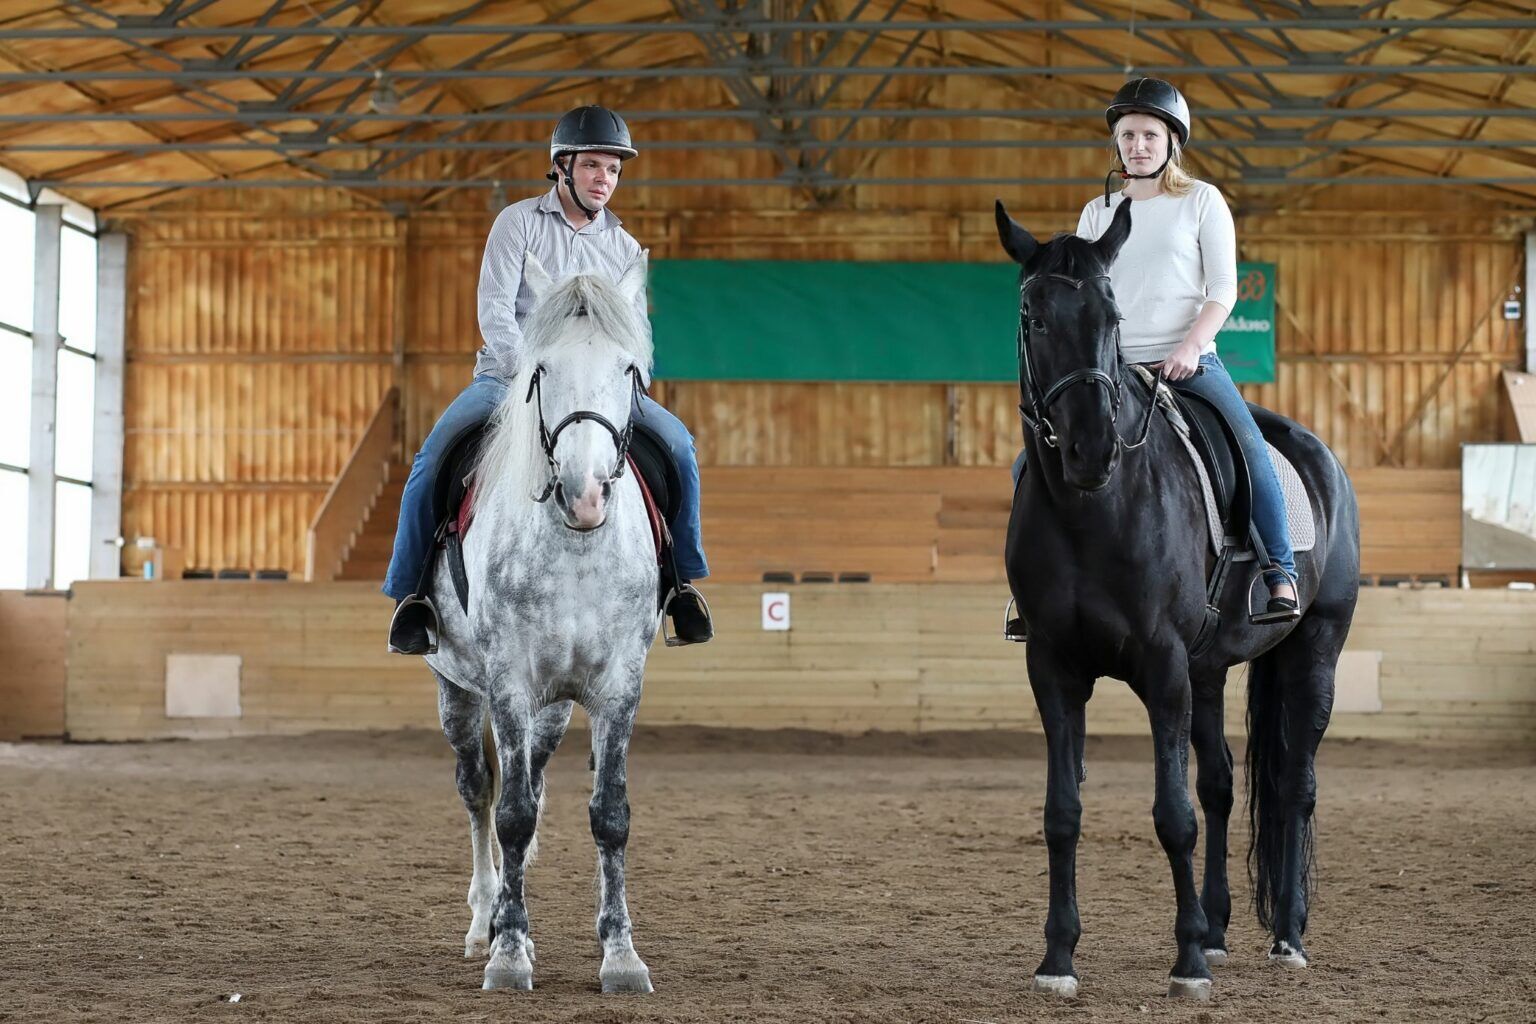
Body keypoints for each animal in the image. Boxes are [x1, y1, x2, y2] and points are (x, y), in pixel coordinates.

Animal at [423, 253, 660, 993]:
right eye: (541, 370)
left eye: (628, 368)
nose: (585, 494)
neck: (577, 545)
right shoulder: (508, 683)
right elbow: (512, 815)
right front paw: (507, 953)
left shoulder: (619, 686)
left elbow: (609, 815)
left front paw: (621, 955)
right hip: (458, 692)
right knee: (480, 793)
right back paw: (484, 921)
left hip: (553, 710)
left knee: (531, 777)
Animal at [994, 199, 1360, 1000]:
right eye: (1031, 316)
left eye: (1111, 315)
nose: (1093, 450)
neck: (1094, 512)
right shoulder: (1053, 668)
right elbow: (1063, 812)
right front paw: (1058, 958)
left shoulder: (1162, 666)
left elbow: (1173, 815)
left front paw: (1187, 962)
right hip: (1209, 670)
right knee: (1223, 783)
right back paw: (1220, 930)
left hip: (1314, 651)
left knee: (1295, 786)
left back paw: (1286, 937)